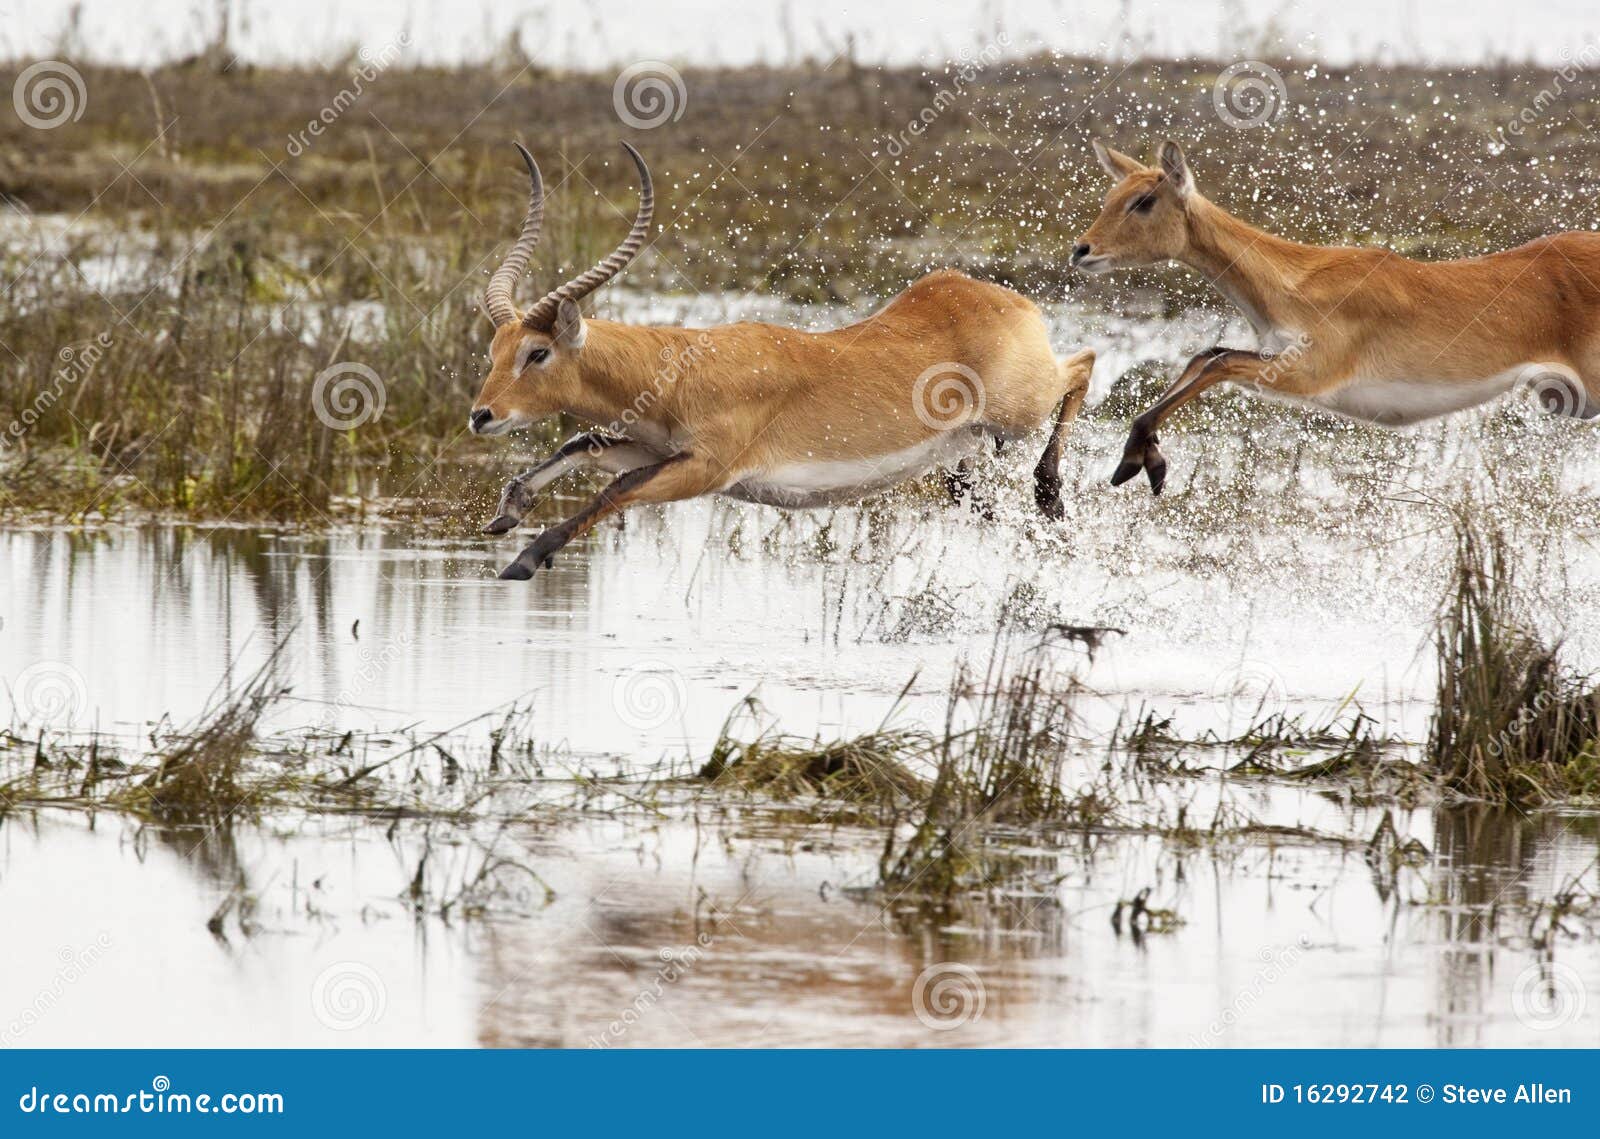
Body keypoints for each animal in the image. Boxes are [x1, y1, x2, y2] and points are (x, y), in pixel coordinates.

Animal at [470, 142, 1097, 580]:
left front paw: (523, 559)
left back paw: (1050, 496)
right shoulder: (661, 448)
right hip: (979, 435)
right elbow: (583, 445)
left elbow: (614, 491)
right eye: (493, 351)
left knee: (1085, 361)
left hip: (1021, 407)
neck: (681, 369)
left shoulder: (706, 469)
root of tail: (993, 296)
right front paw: (508, 510)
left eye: (537, 352)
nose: (481, 415)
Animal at [1072, 139, 1600, 494]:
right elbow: (1205, 354)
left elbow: (1217, 362)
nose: (1082, 250)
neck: (1295, 281)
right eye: (1109, 197)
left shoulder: (1309, 373)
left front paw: (1137, 461)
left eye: (1143, 200)